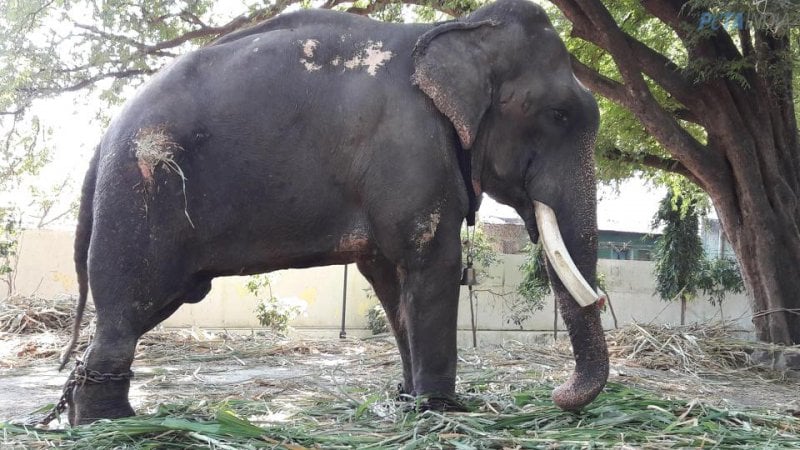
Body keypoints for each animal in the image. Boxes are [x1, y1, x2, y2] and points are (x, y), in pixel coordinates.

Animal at [59, 0, 608, 425]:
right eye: (559, 115)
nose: (557, 396)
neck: (460, 30)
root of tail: (103, 139)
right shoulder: (411, 149)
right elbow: (434, 262)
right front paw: (443, 411)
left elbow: (389, 277)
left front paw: (409, 401)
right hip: (139, 196)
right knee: (127, 306)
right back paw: (112, 423)